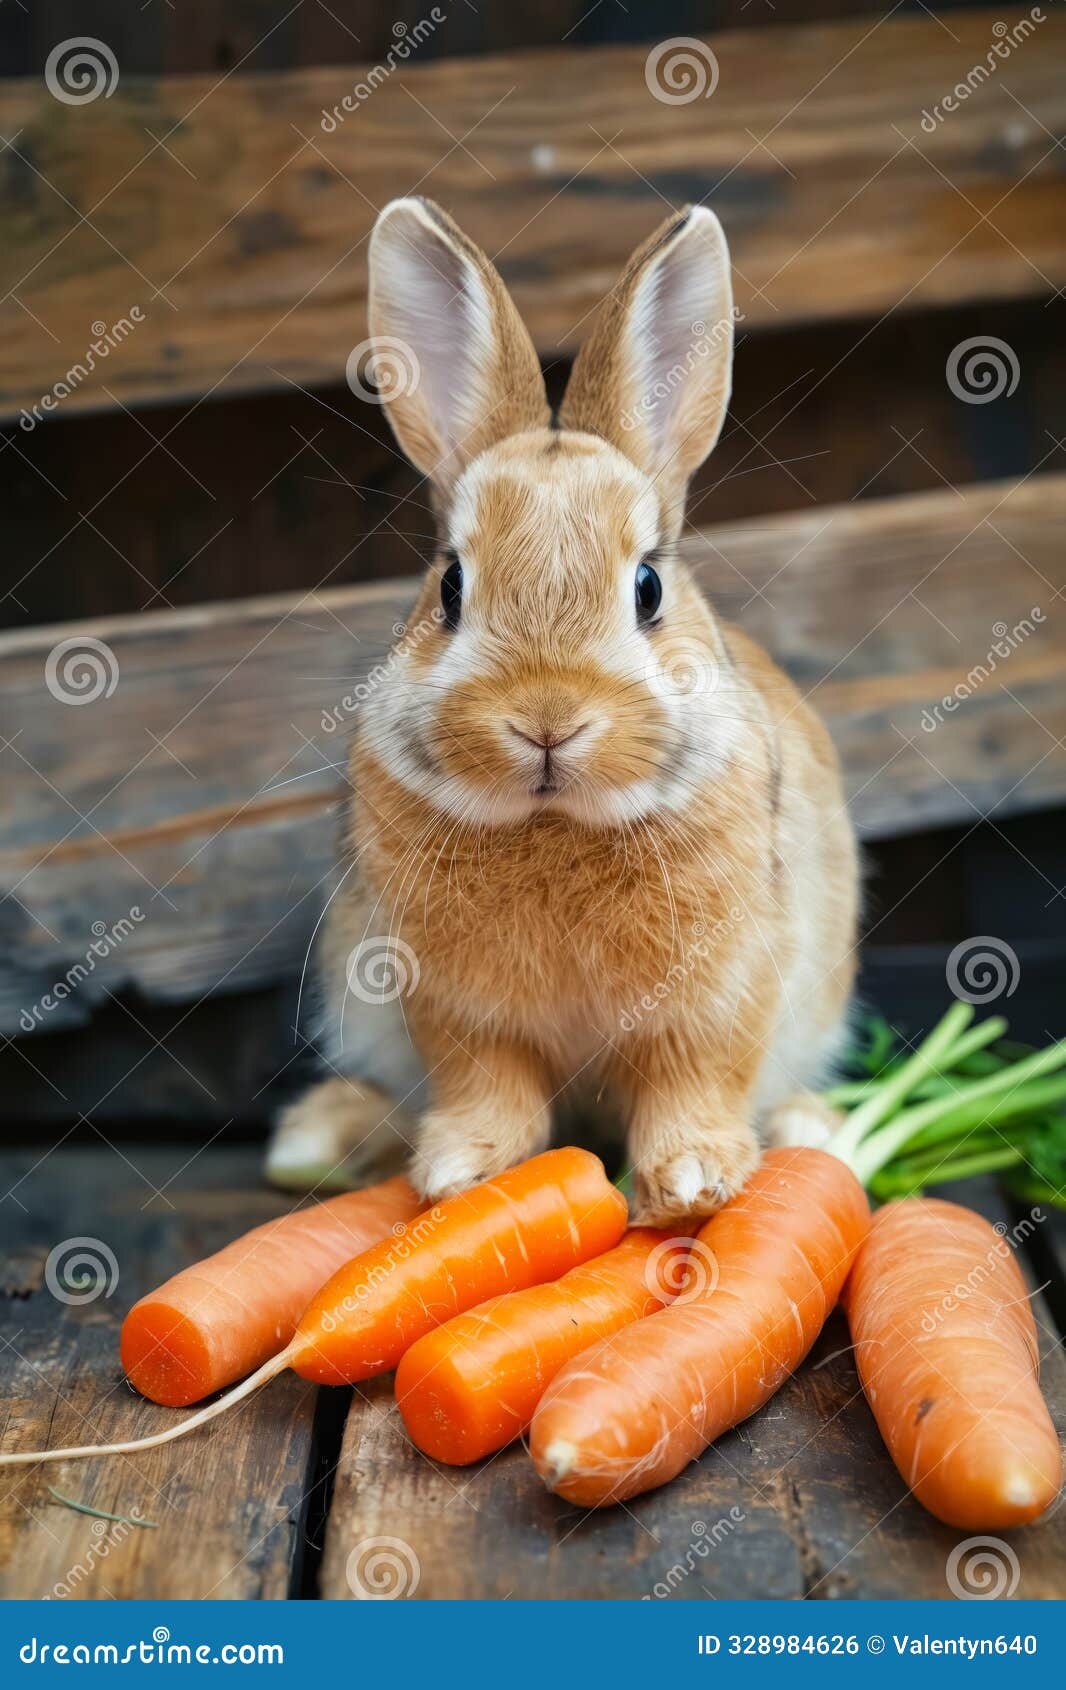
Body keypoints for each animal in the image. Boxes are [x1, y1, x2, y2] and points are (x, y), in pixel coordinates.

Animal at [267, 196, 859, 1226]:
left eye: (649, 587)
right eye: (451, 588)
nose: (547, 720)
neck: (555, 822)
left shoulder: (717, 998)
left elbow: (695, 1080)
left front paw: (694, 1182)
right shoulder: (458, 1013)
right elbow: (488, 1087)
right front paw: (466, 1175)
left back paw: (814, 1133)